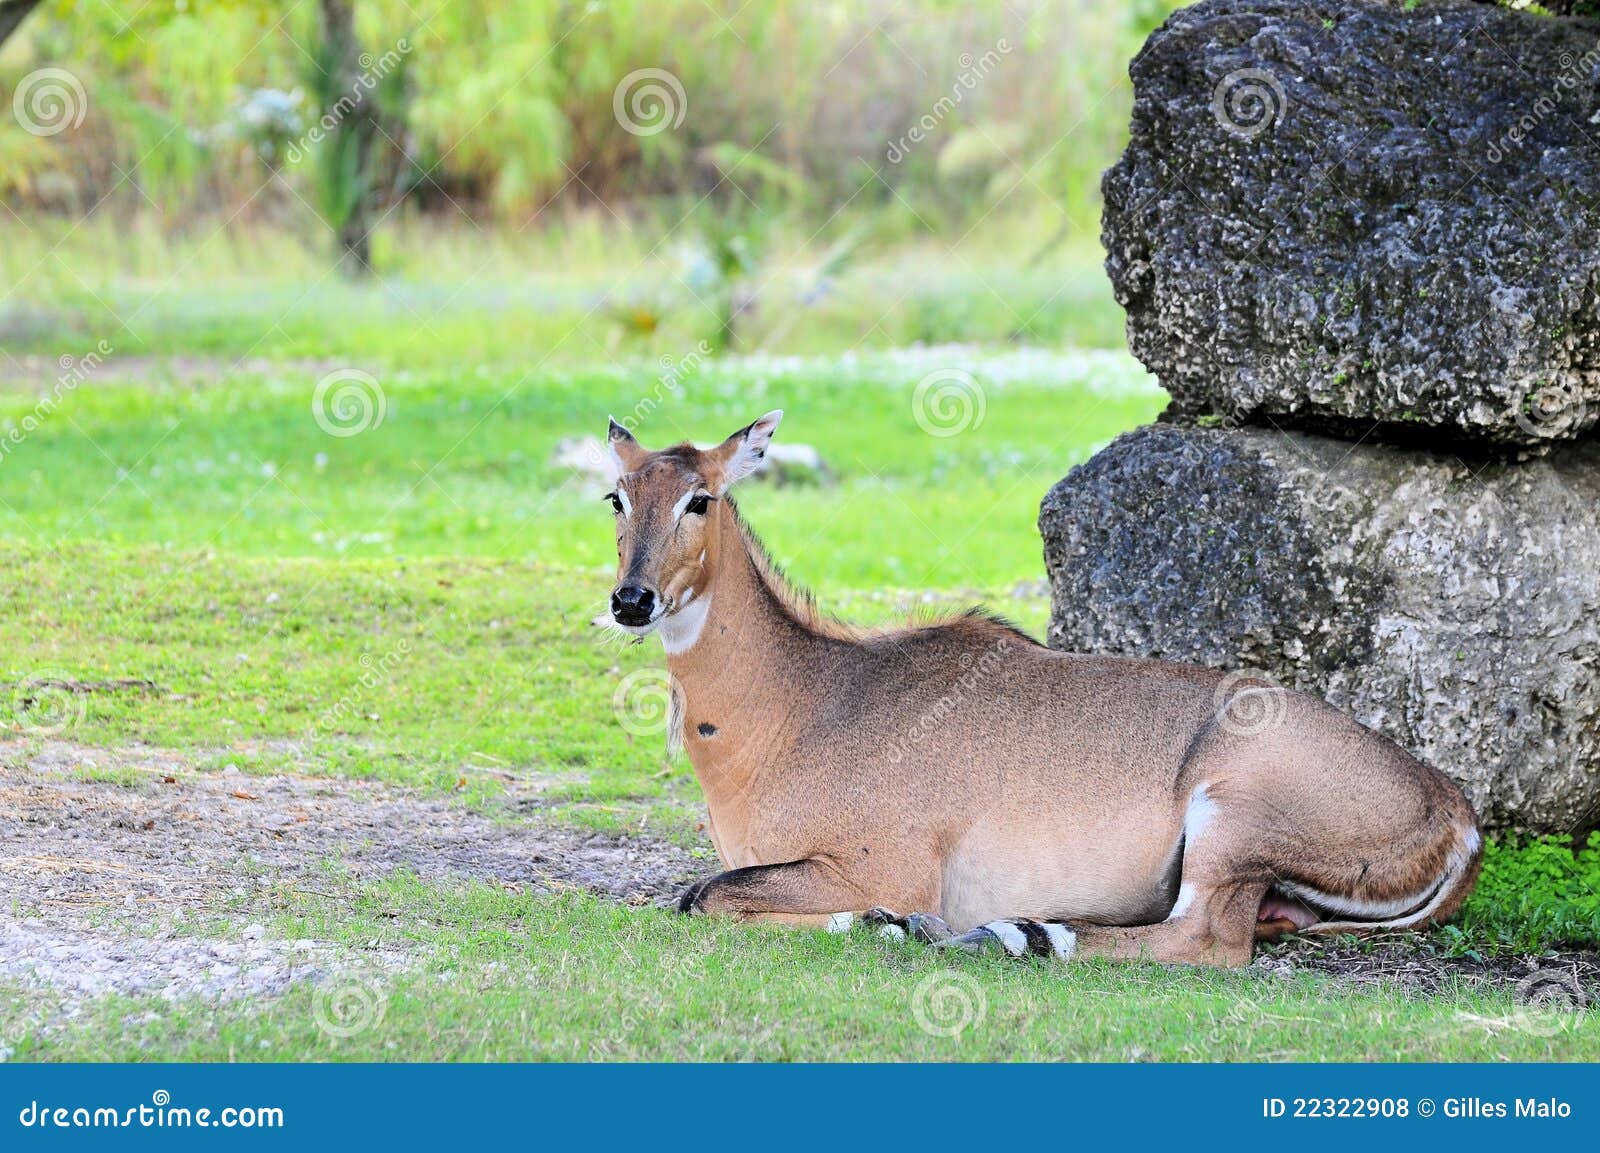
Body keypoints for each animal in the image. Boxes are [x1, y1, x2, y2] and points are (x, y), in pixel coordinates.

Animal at [599, 411, 1482, 966]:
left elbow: (707, 895)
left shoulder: (883, 865)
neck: (801, 701)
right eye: (618, 496)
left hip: (1233, 817)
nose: (631, 599)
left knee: (1205, 940)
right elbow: (708, 891)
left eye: (700, 498)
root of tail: (1456, 809)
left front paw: (887, 924)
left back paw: (1021, 935)